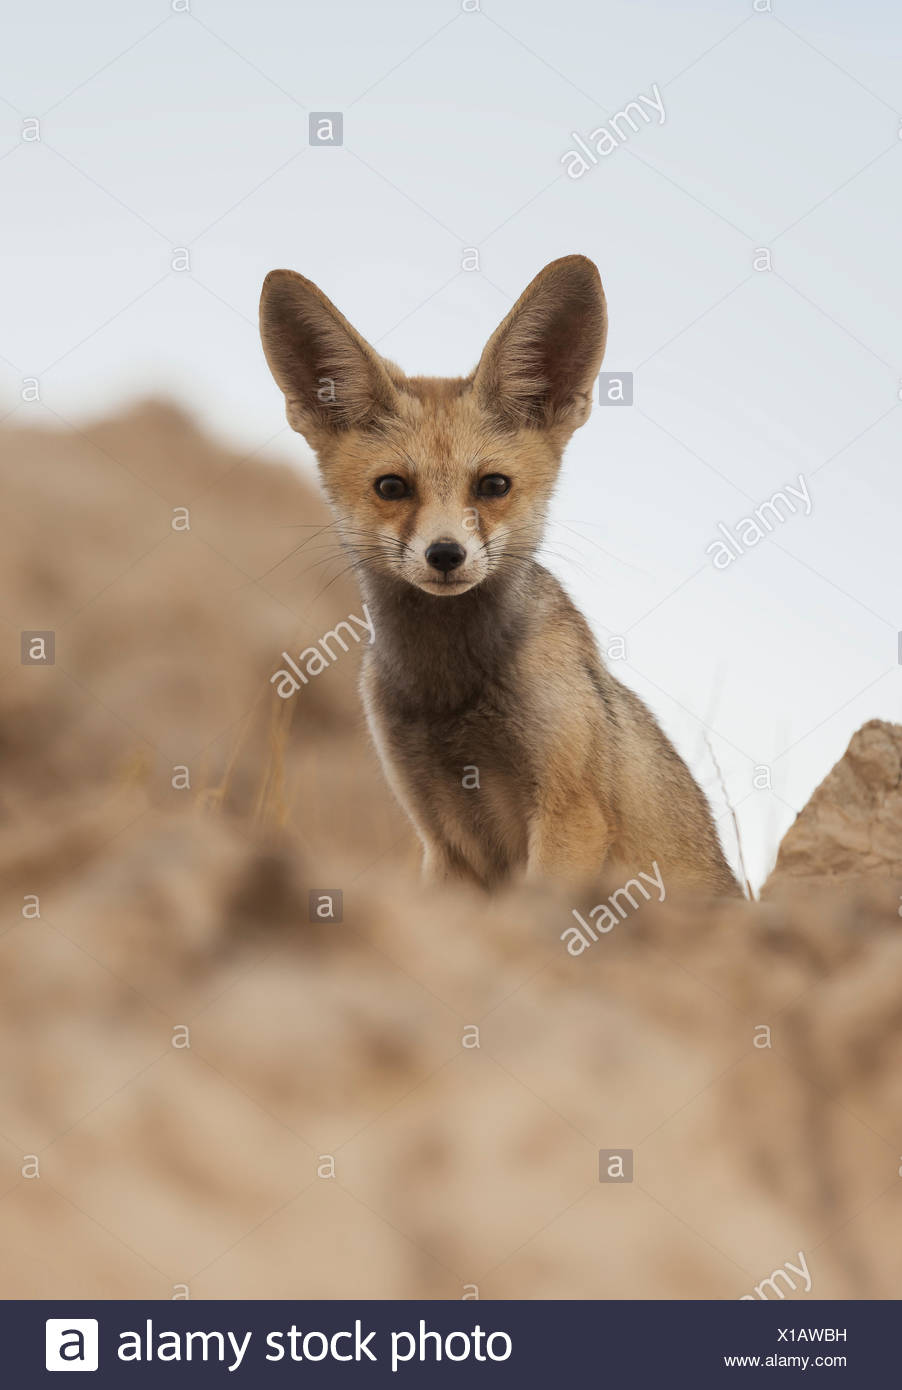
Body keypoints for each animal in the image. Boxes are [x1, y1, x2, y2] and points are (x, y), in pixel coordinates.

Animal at [259, 254, 742, 896]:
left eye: (493, 485)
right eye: (392, 487)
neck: (449, 693)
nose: (445, 554)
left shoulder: (570, 813)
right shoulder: (440, 838)